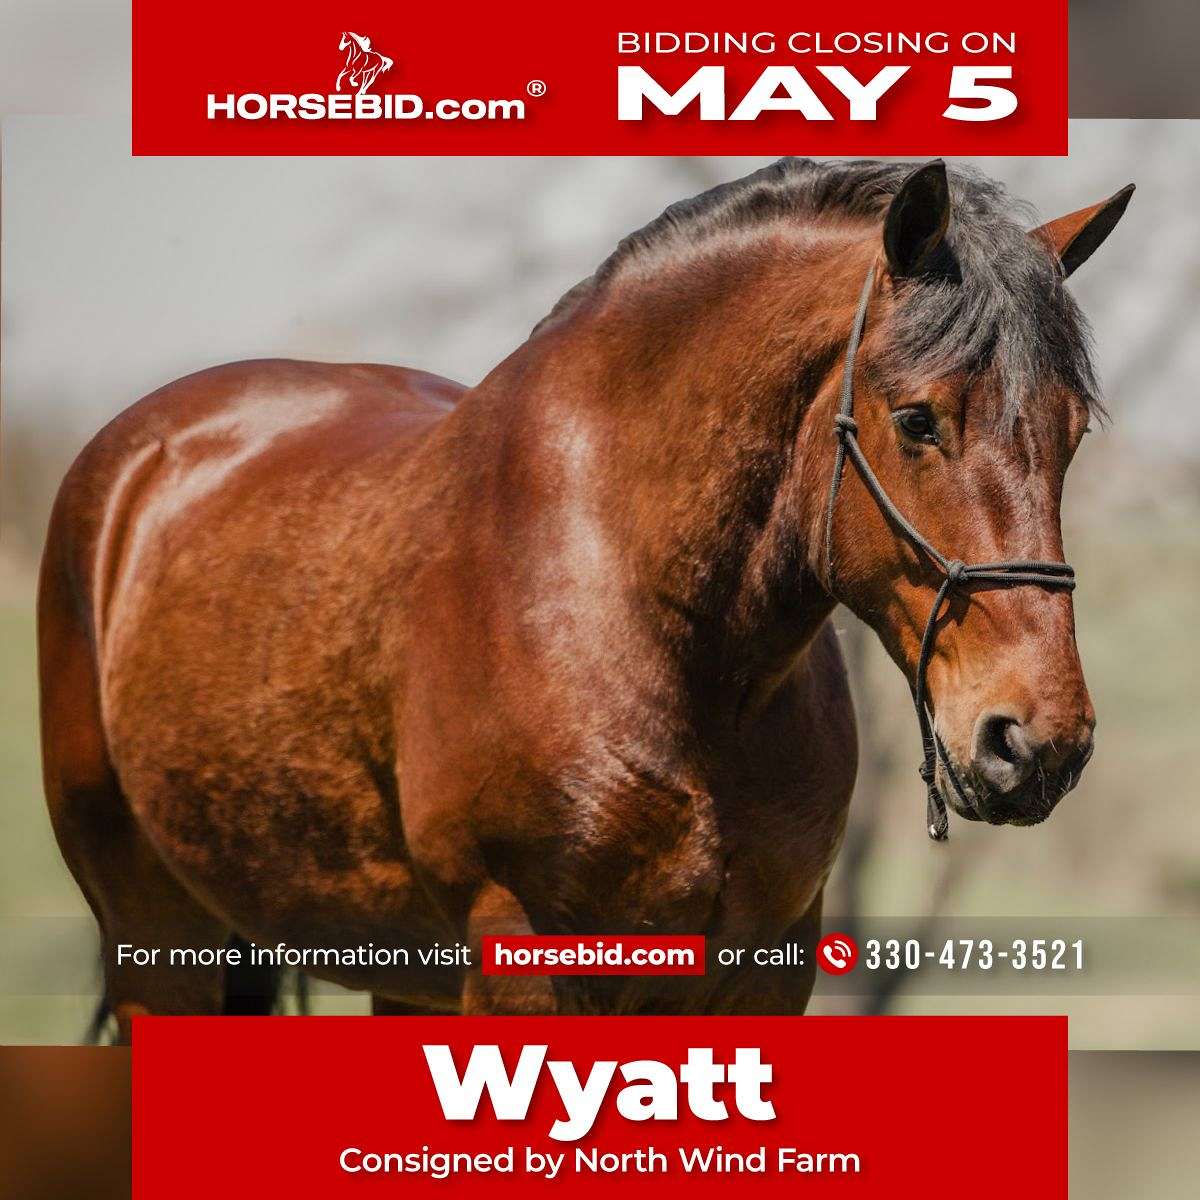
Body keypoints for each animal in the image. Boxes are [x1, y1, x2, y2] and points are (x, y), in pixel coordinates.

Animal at [38, 159, 1132, 1041]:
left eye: (1071, 431)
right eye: (917, 420)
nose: (1037, 742)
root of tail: (133, 463)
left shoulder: (762, 975)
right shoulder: (525, 960)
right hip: (156, 938)